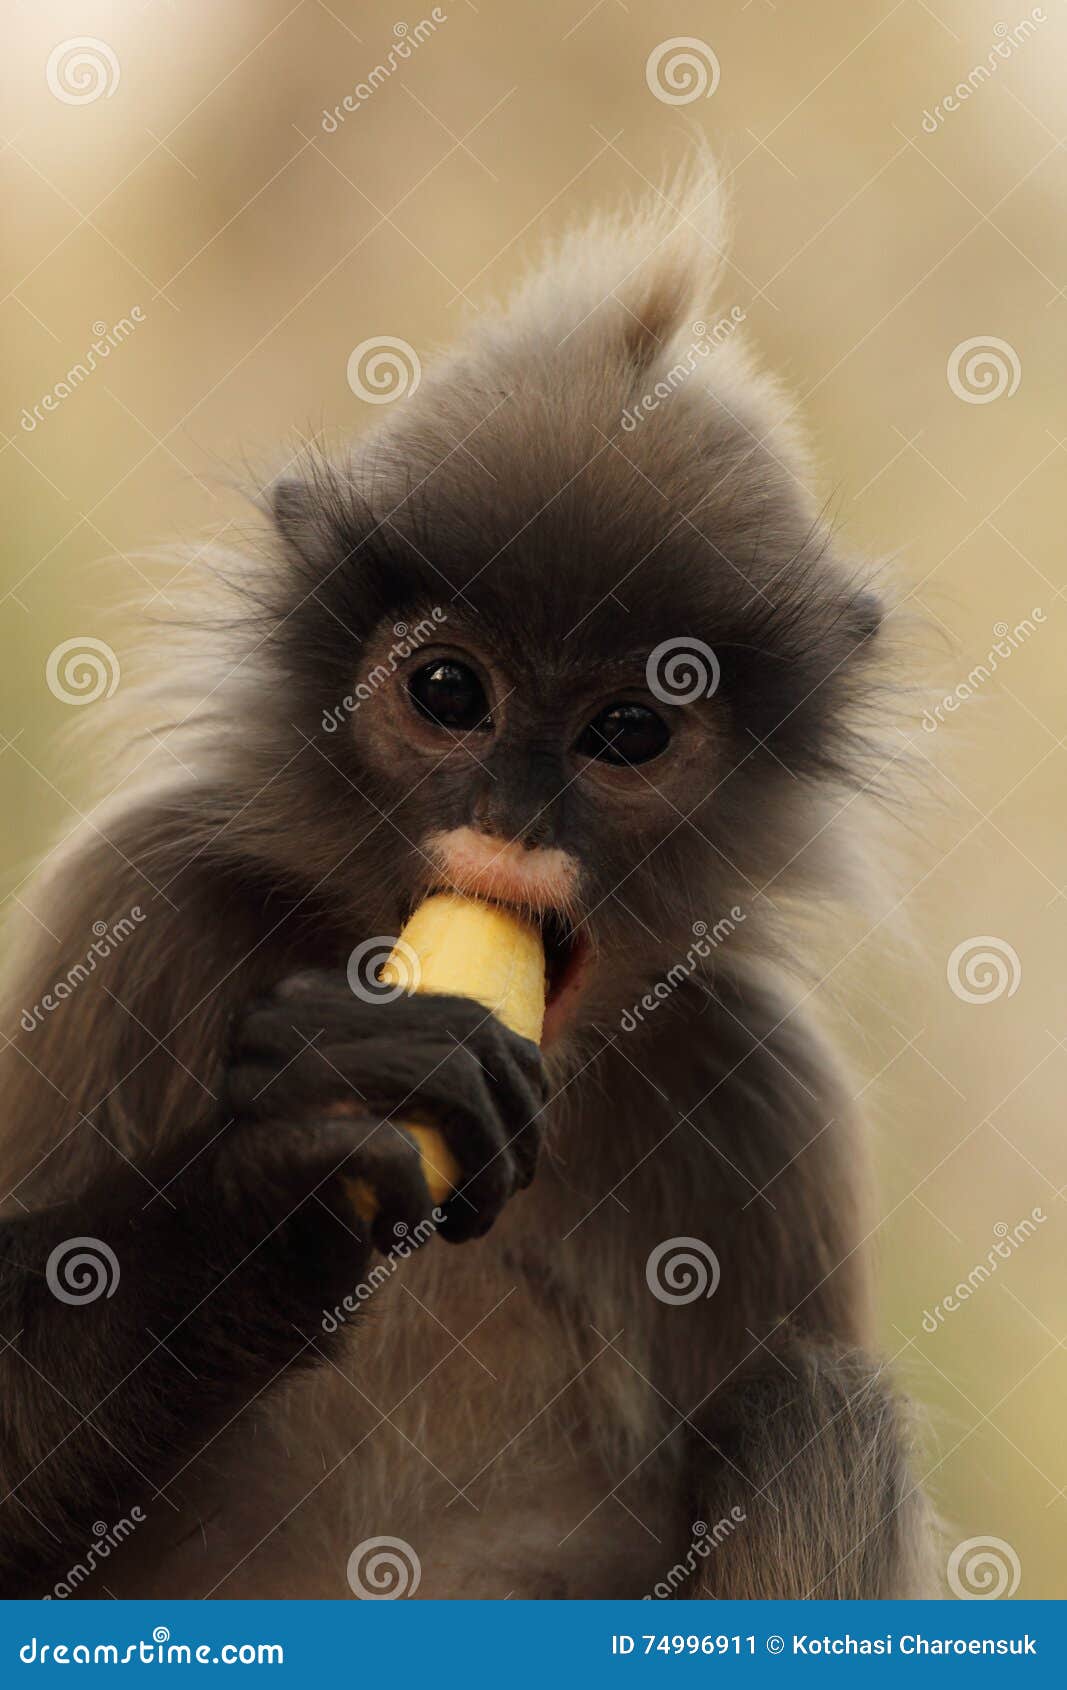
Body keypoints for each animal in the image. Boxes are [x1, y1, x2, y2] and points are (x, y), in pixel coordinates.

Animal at [0, 168, 938, 1600]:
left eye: (627, 731)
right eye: (450, 691)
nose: (510, 816)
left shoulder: (760, 1089)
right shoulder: (136, 910)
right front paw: (265, 1196)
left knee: (823, 1411)